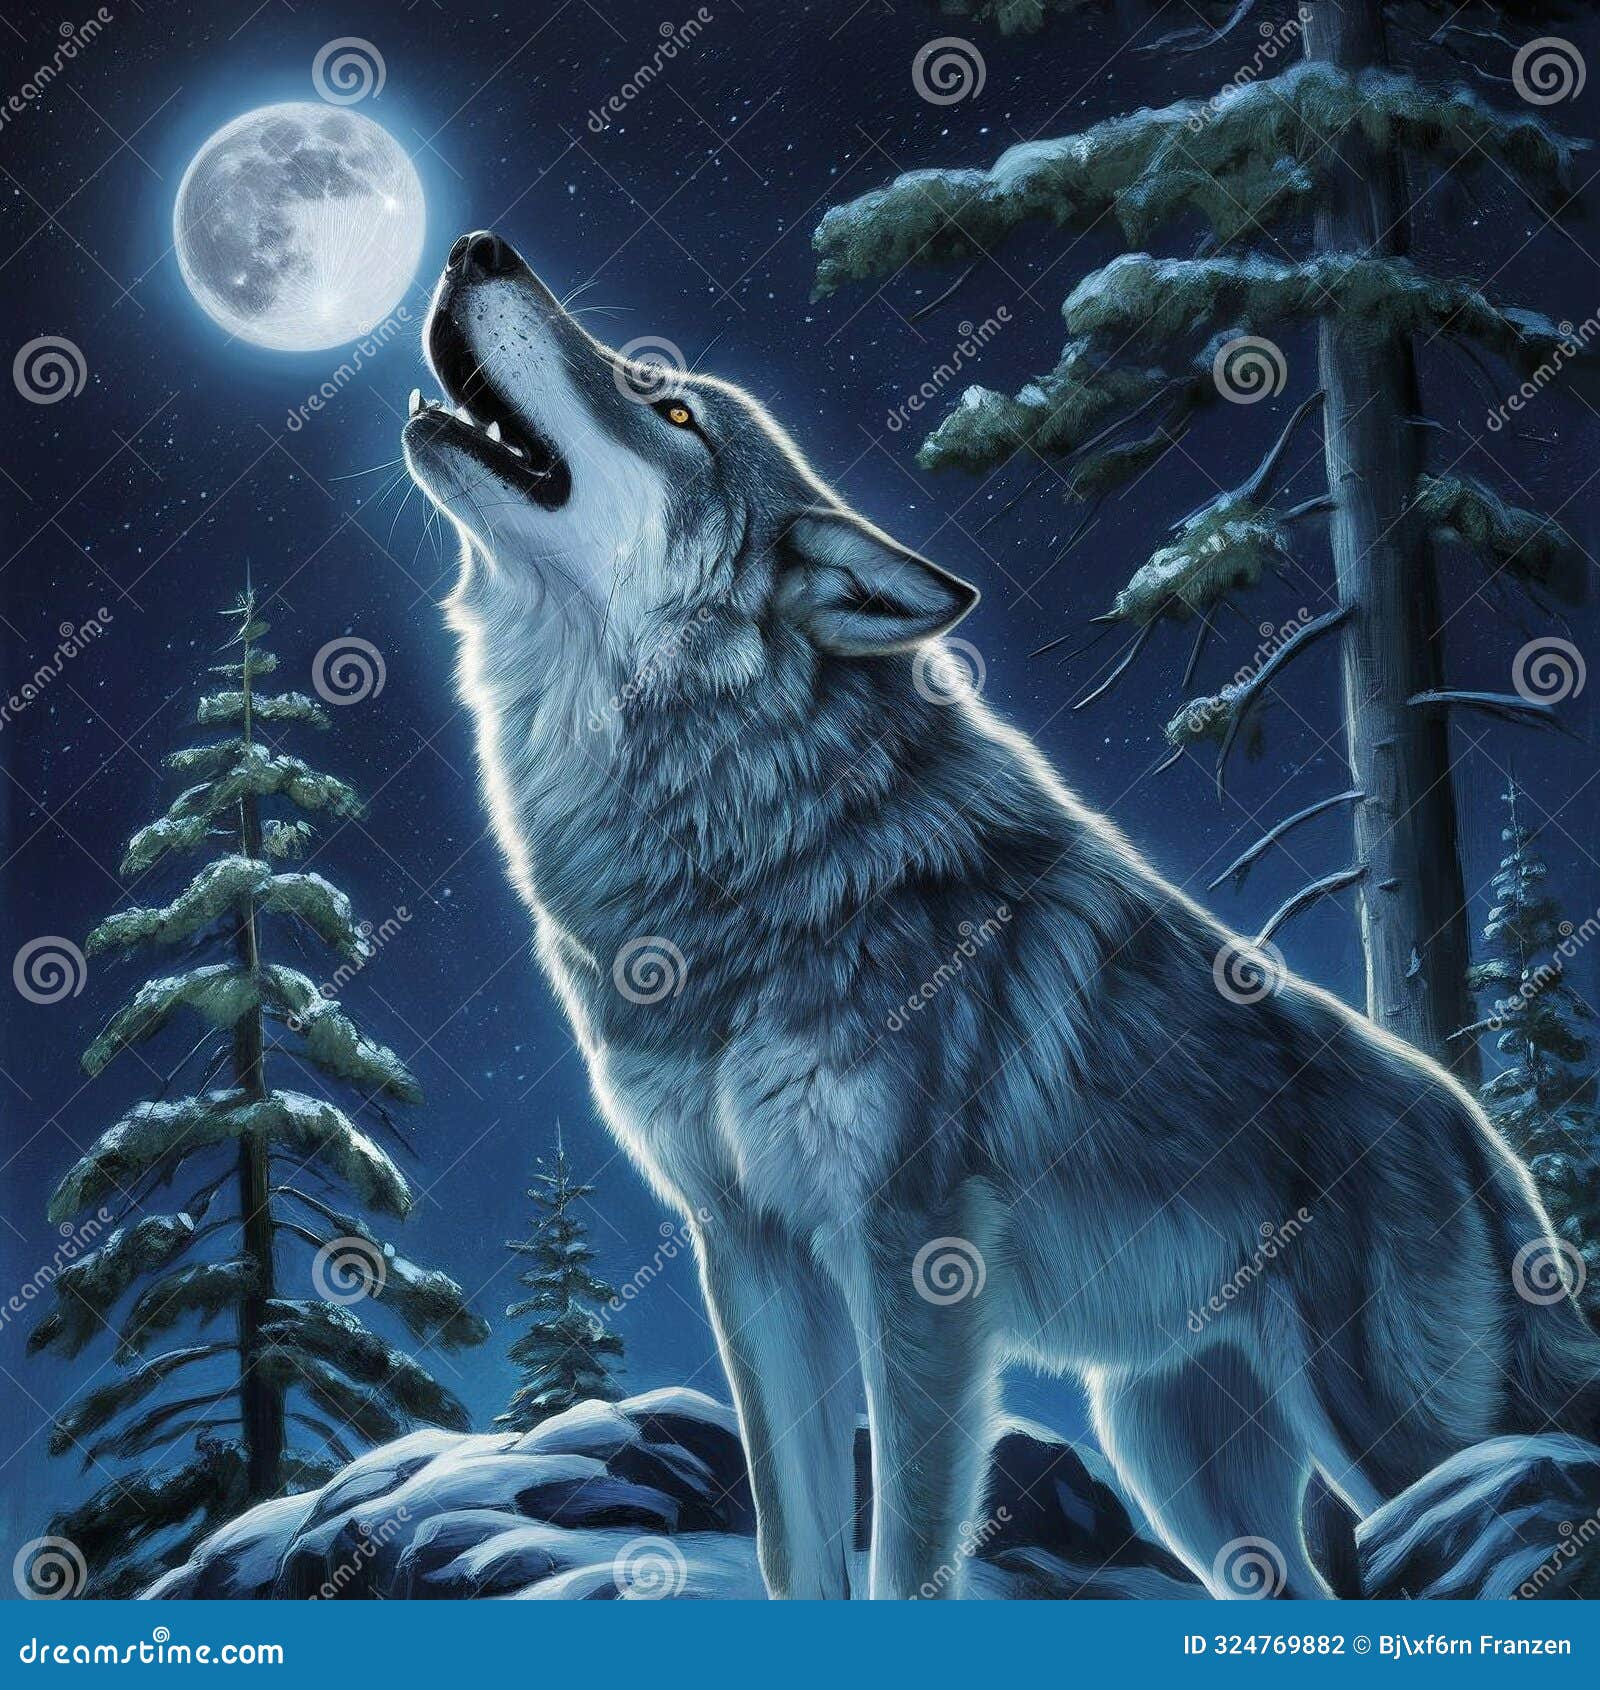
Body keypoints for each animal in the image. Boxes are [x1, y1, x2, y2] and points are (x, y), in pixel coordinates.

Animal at [403, 229, 1600, 1600]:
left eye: (672, 412)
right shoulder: (749, 1251)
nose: (477, 245)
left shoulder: (916, 1255)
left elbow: (906, 1550)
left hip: (1386, 1429)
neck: (744, 828)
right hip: (1178, 1462)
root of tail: (1480, 1137)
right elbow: (795, 1543)